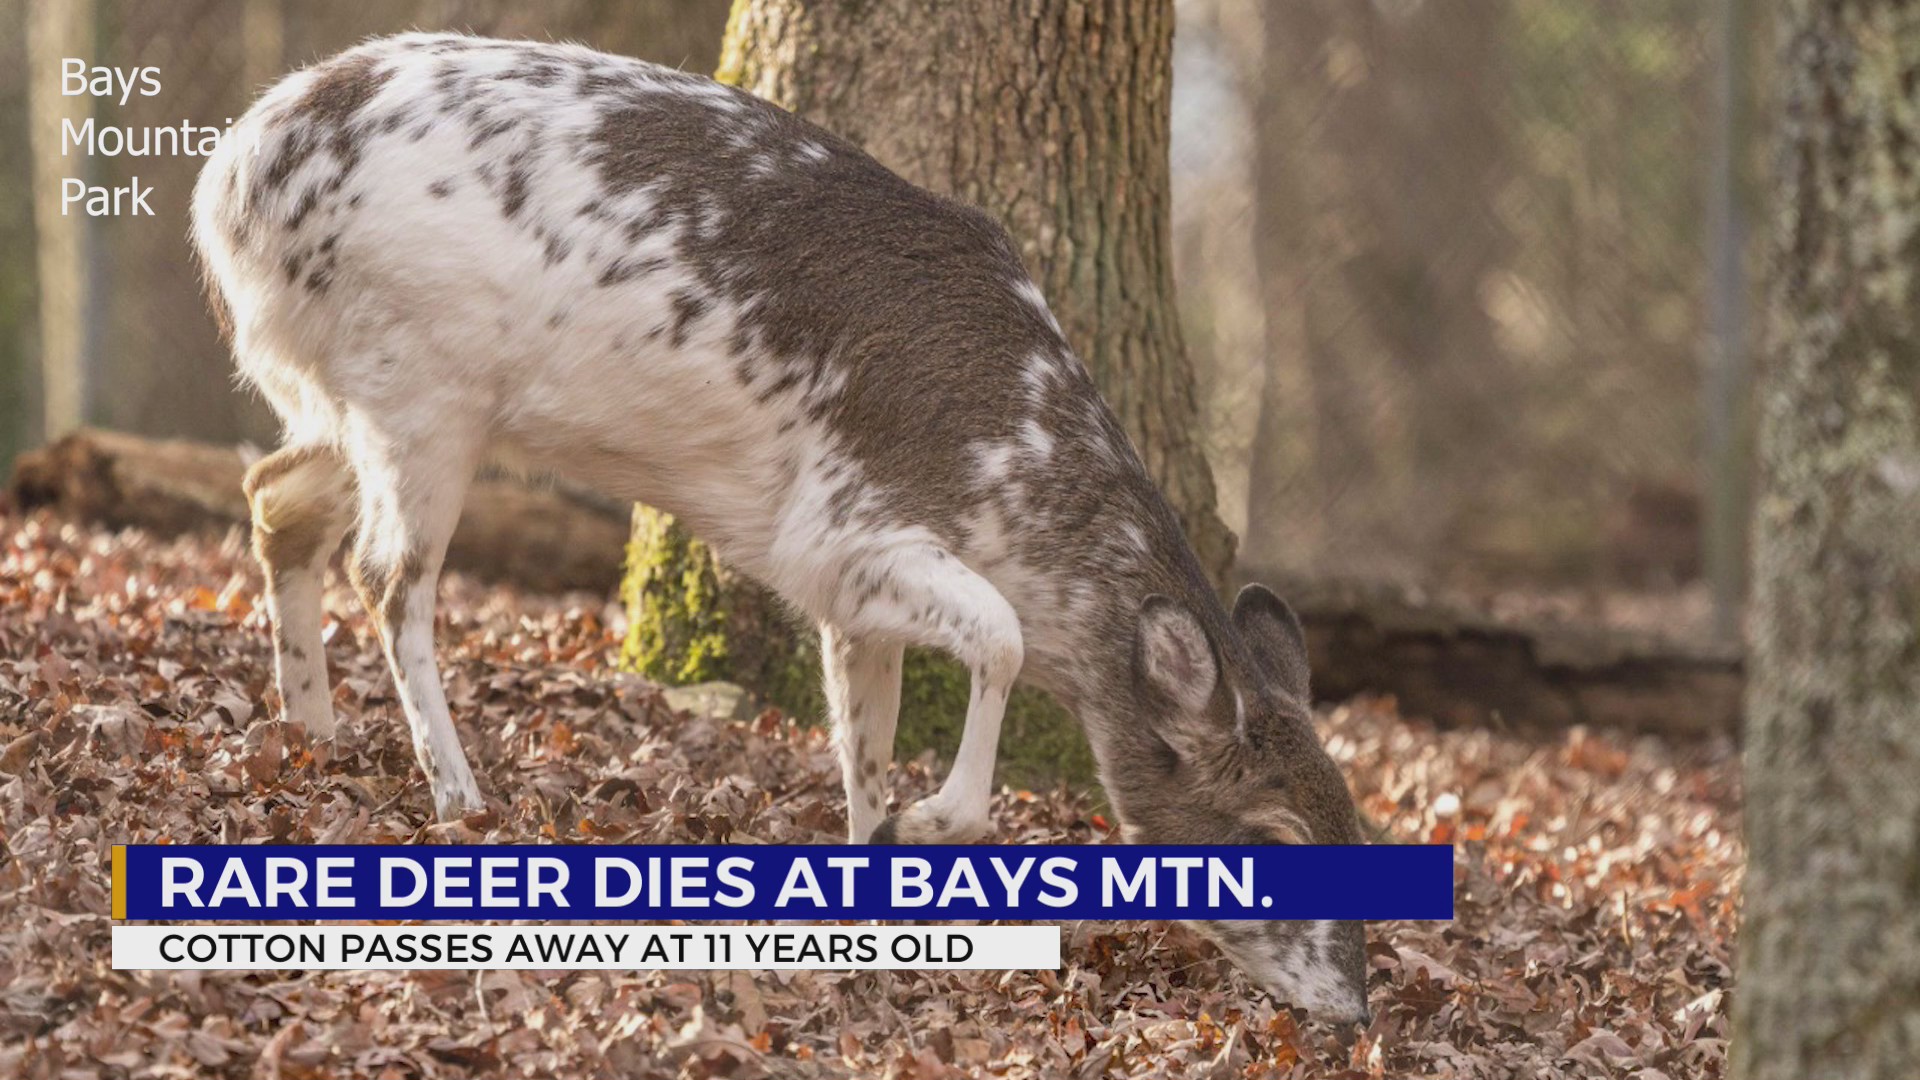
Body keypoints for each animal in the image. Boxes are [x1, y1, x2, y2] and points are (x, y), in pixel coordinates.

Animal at [192, 33, 1371, 1021]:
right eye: (1274, 834)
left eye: (1354, 824)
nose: (1356, 1009)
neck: (1014, 485)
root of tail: (235, 176)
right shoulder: (838, 530)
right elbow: (994, 641)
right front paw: (926, 824)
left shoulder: (850, 594)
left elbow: (864, 734)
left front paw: (875, 878)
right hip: (421, 385)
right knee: (391, 577)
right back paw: (458, 794)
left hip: (349, 395)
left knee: (278, 496)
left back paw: (311, 729)